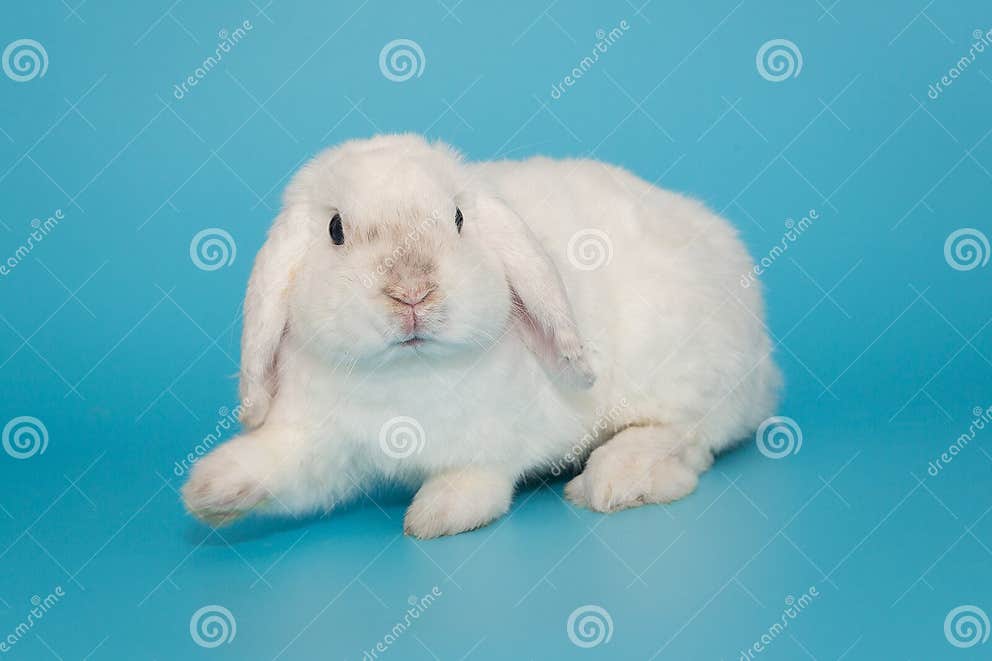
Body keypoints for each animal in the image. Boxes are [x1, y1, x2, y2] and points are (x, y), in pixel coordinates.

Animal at [180, 134, 781, 538]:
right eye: (335, 230)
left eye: (458, 218)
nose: (413, 294)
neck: (404, 377)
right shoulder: (322, 445)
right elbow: (284, 468)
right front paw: (209, 490)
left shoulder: (493, 446)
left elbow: (477, 479)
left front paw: (436, 514)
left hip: (690, 376)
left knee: (688, 440)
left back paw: (615, 479)